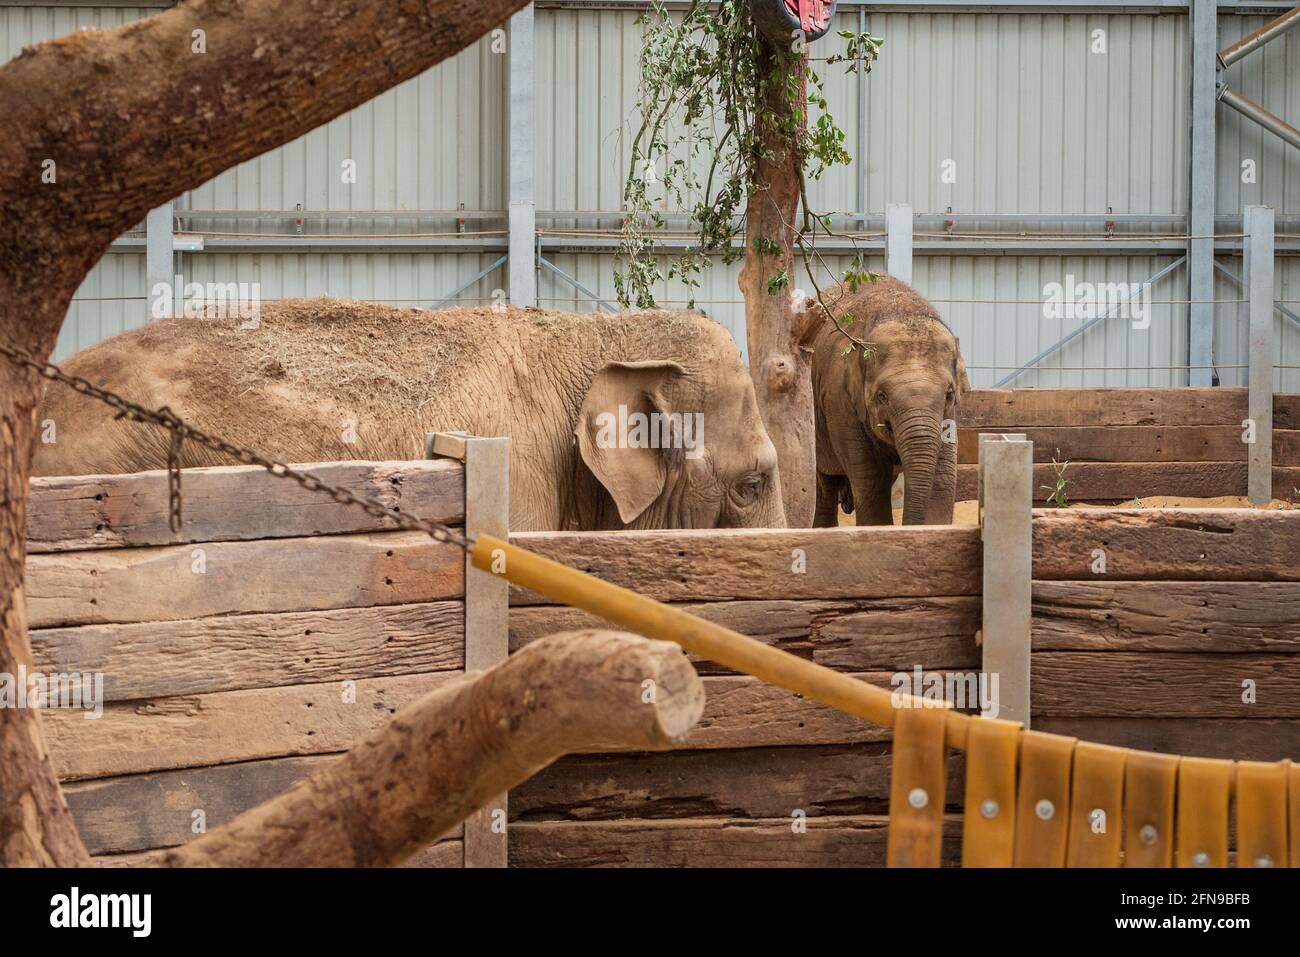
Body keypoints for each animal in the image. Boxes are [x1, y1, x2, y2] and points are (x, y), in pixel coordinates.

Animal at [807, 275, 968, 526]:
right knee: (825, 482)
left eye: (950, 394)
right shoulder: (840, 401)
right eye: (882, 396)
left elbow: (942, 481)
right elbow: (871, 482)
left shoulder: (949, 416)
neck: (900, 310)